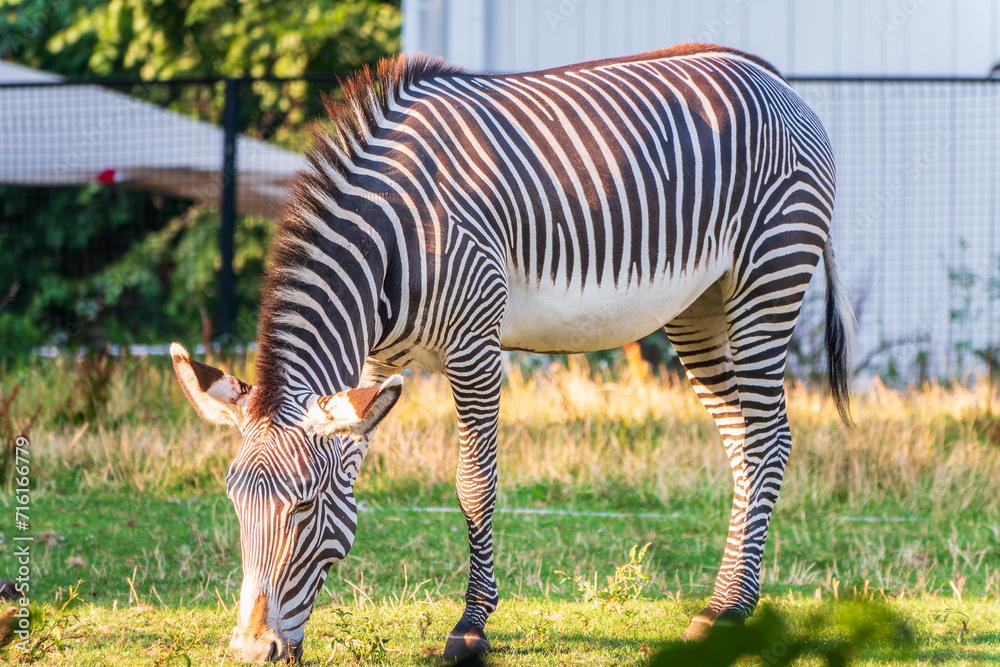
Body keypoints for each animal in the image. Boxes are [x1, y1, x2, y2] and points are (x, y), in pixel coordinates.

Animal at [170, 43, 852, 662]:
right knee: (740, 439)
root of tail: (770, 76)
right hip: (698, 306)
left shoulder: (476, 344)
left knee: (768, 439)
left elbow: (474, 485)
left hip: (768, 277)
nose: (249, 651)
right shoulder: (376, 363)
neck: (391, 239)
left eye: (304, 508)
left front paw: (470, 628)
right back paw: (727, 603)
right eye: (234, 504)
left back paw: (728, 610)